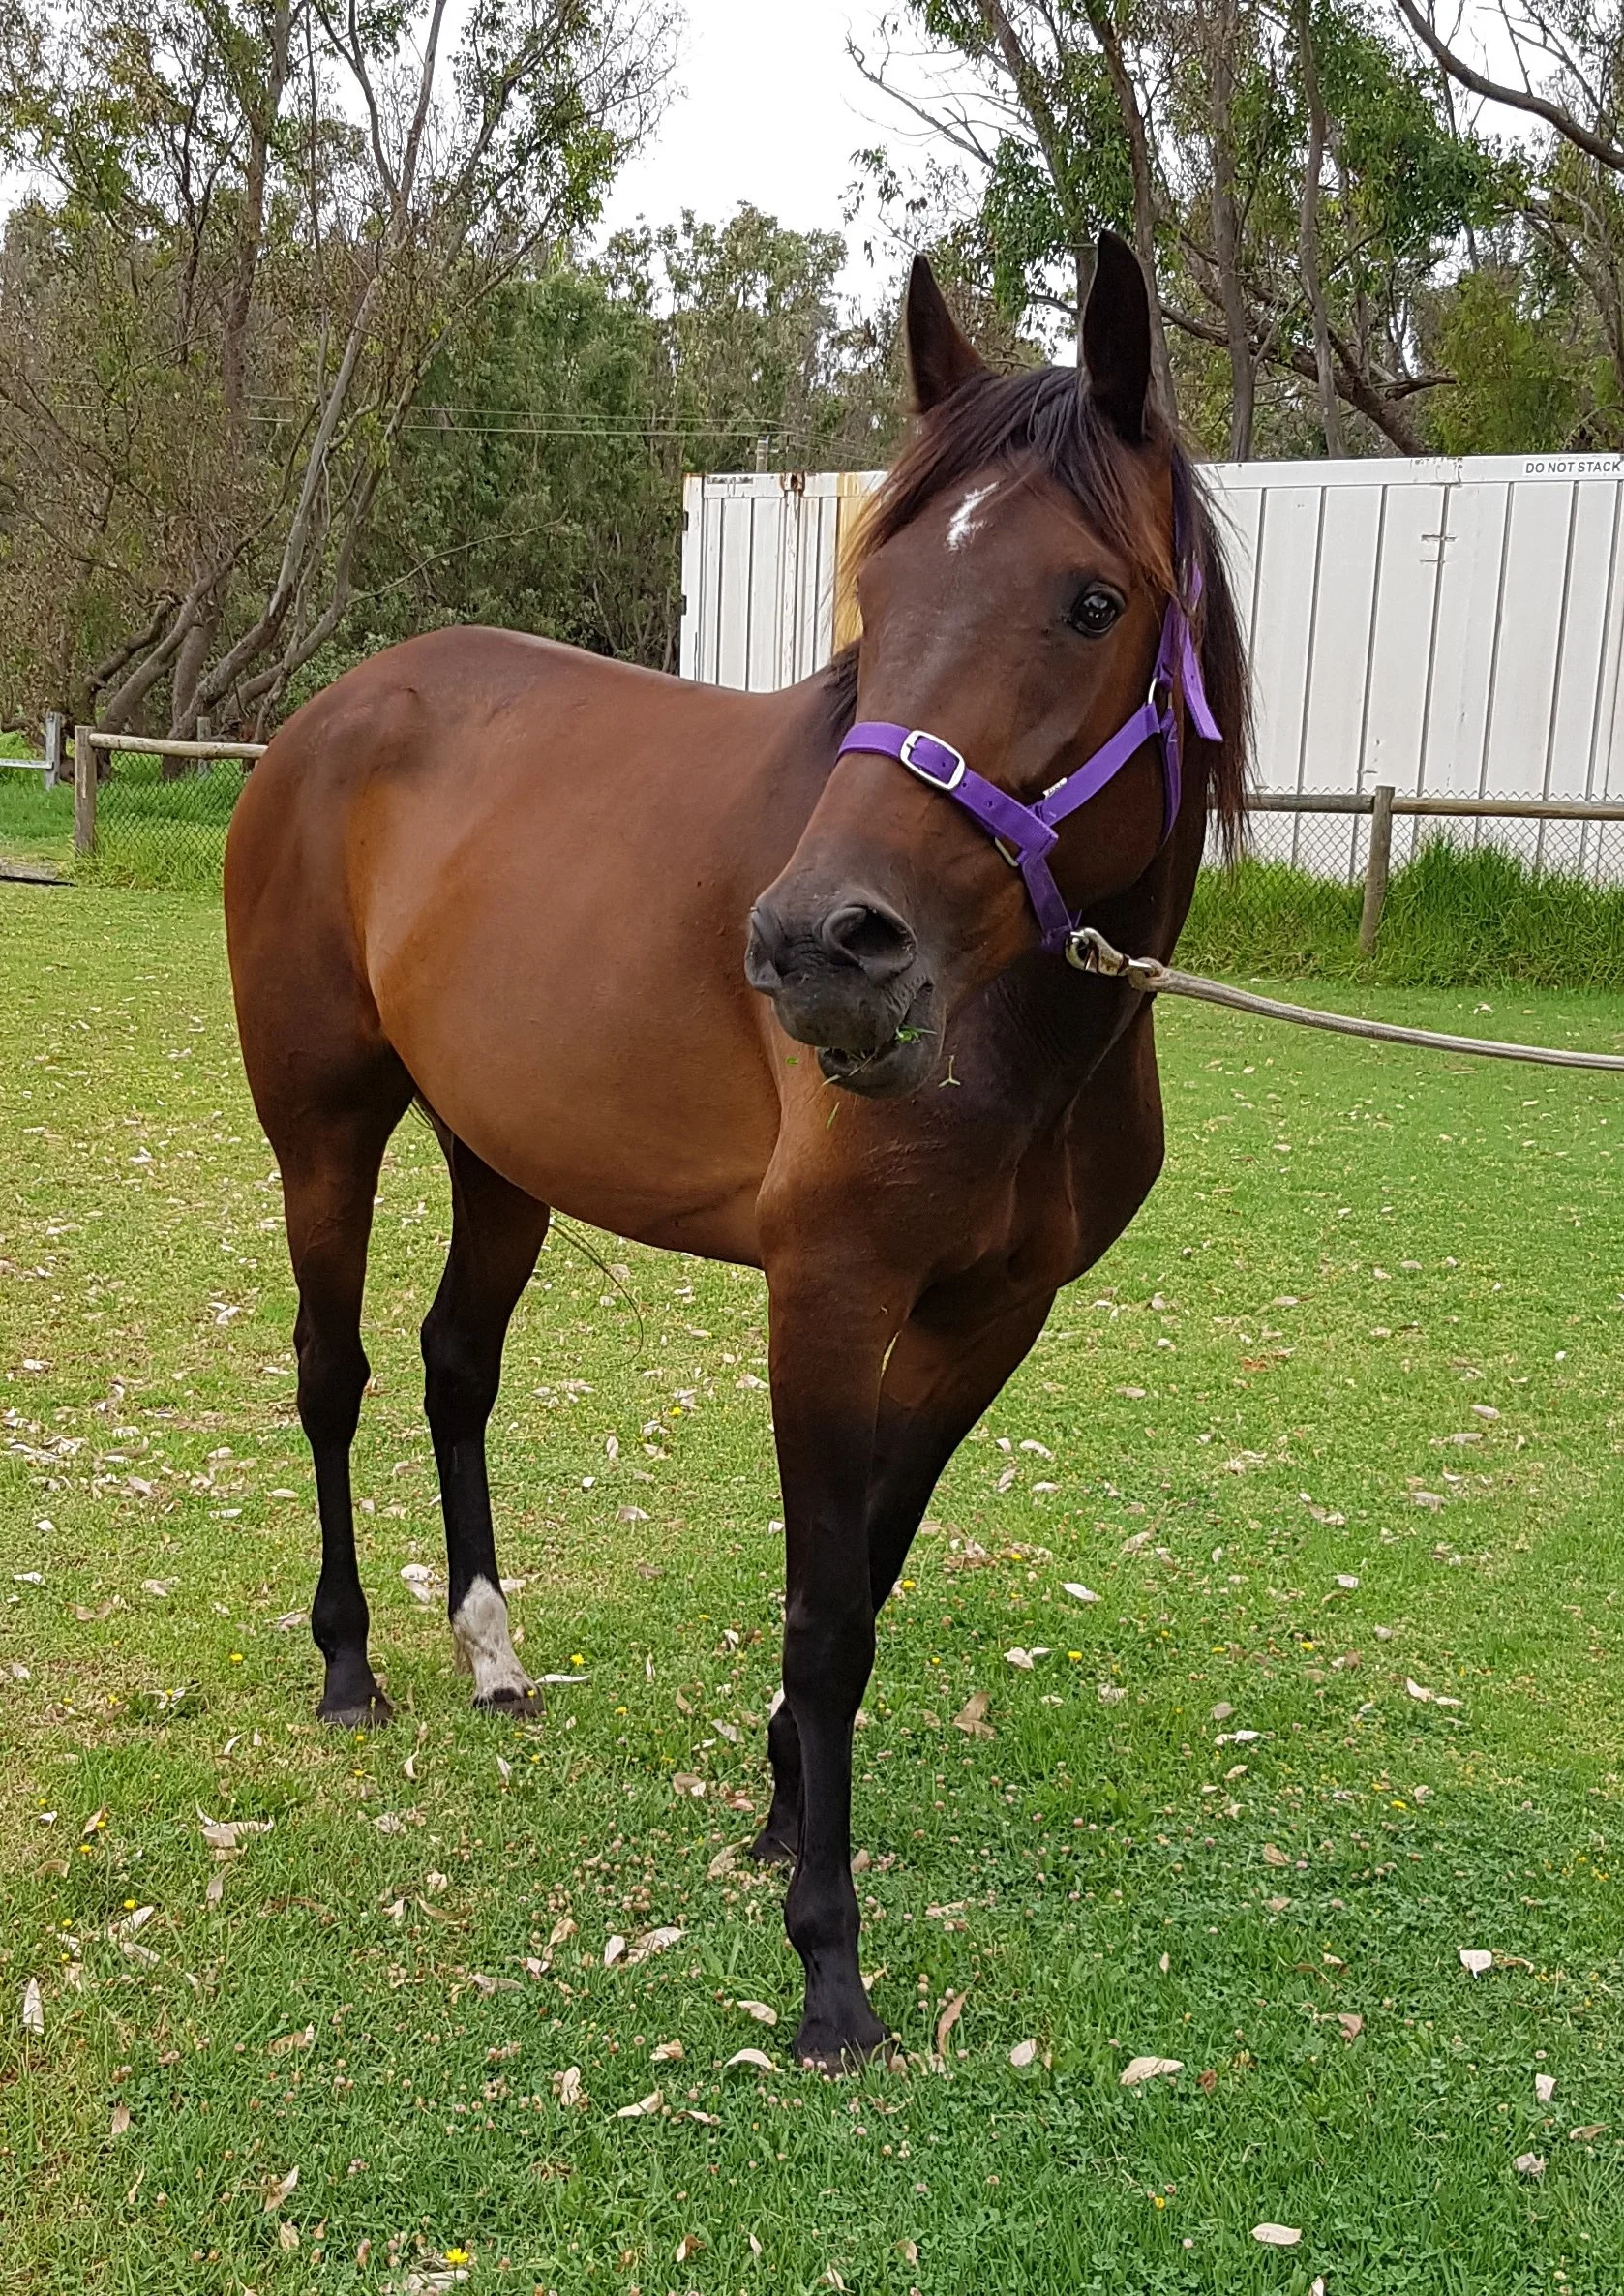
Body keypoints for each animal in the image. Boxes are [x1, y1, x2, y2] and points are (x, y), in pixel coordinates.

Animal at [224, 230, 1250, 2068]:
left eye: (1089, 601)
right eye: (878, 595)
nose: (816, 947)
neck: (1019, 1030)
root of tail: (325, 718)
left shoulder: (987, 1318)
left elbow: (872, 1572)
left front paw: (780, 1807)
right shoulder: (824, 1295)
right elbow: (825, 1609)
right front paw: (827, 1960)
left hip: (502, 1154)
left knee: (453, 1365)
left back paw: (490, 1650)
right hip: (323, 1131)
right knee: (331, 1373)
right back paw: (349, 1668)